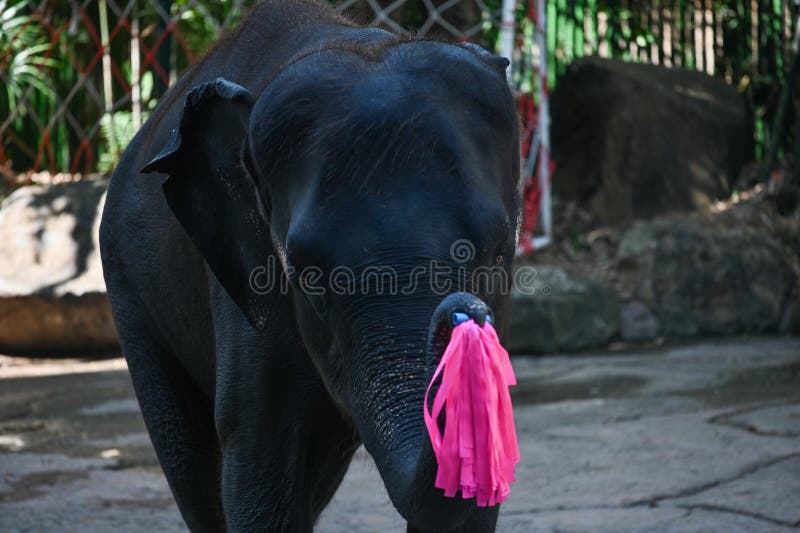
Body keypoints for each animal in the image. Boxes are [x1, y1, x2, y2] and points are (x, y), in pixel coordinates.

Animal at [99, 0, 521, 531]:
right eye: (307, 274)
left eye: (497, 252)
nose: (463, 313)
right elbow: (260, 480)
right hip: (128, 289)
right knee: (188, 461)